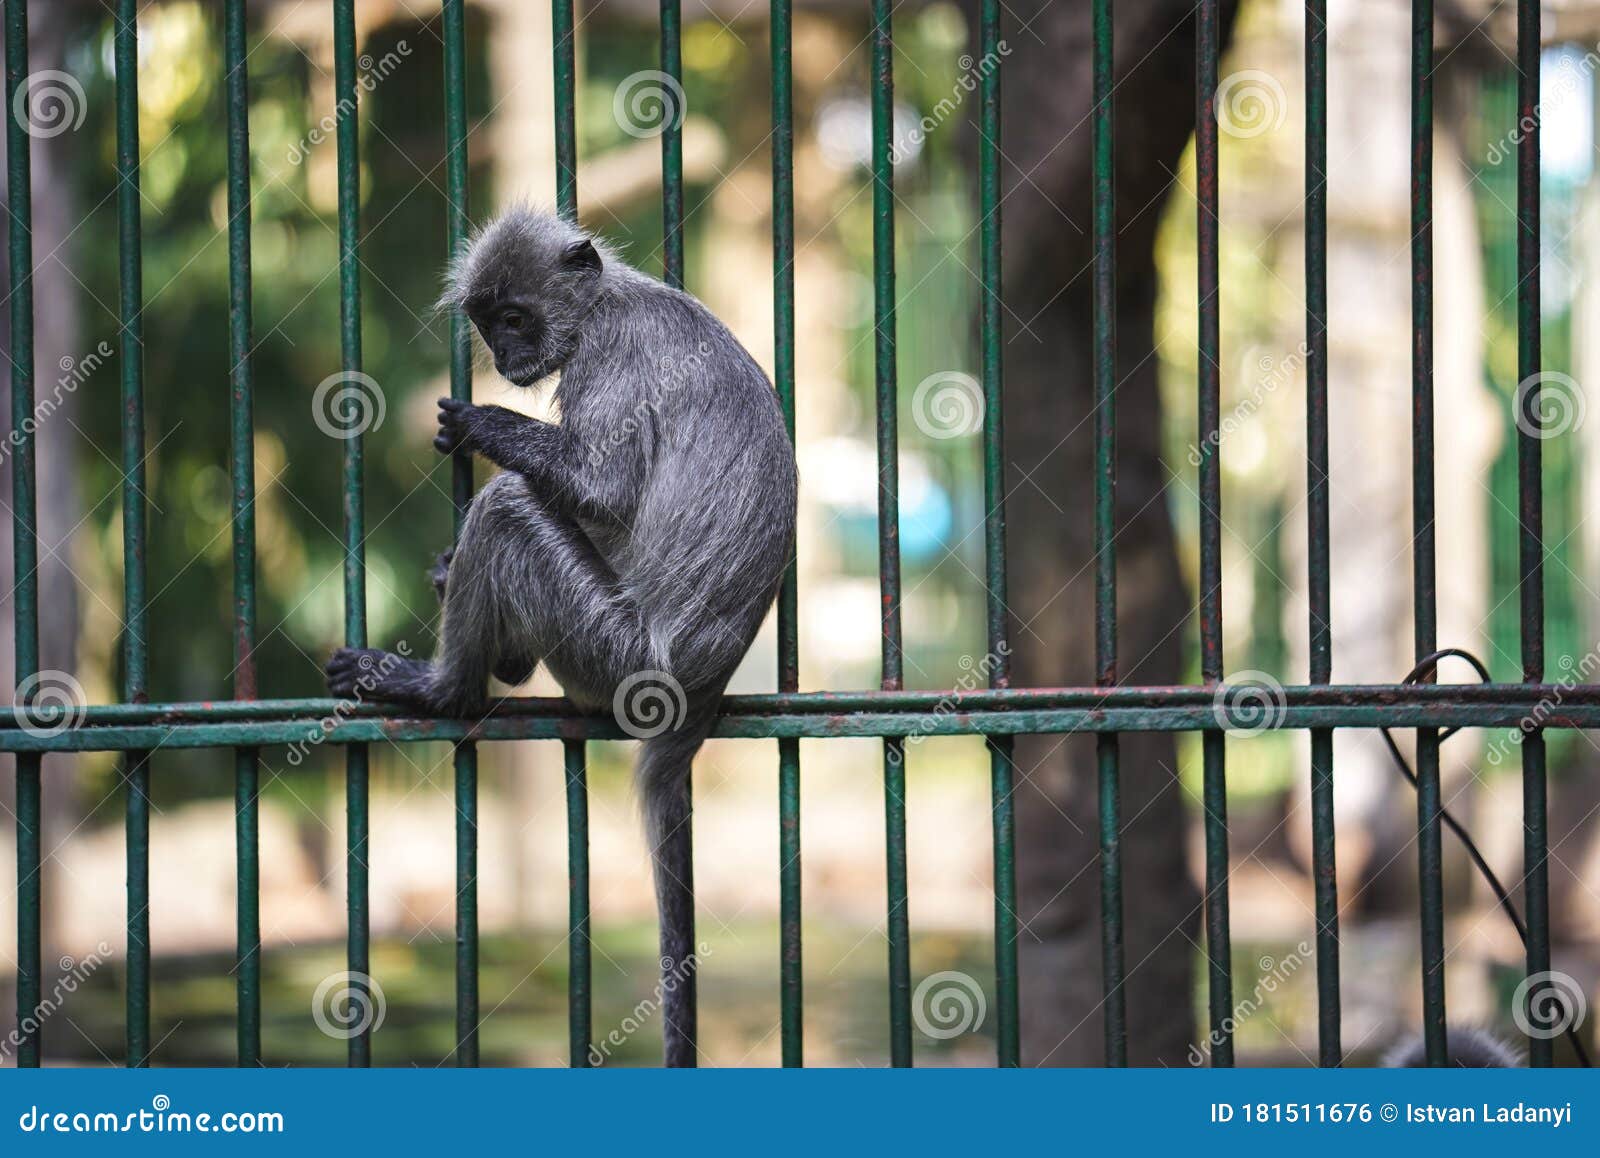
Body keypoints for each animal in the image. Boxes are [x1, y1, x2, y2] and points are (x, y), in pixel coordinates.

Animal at [325, 207, 798, 1067]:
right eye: (490, 324)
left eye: (516, 320)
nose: (507, 357)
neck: (612, 297)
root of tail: (695, 694)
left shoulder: (612, 355)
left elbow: (602, 490)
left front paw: (485, 427)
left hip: (609, 656)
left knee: (511, 505)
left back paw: (445, 689)